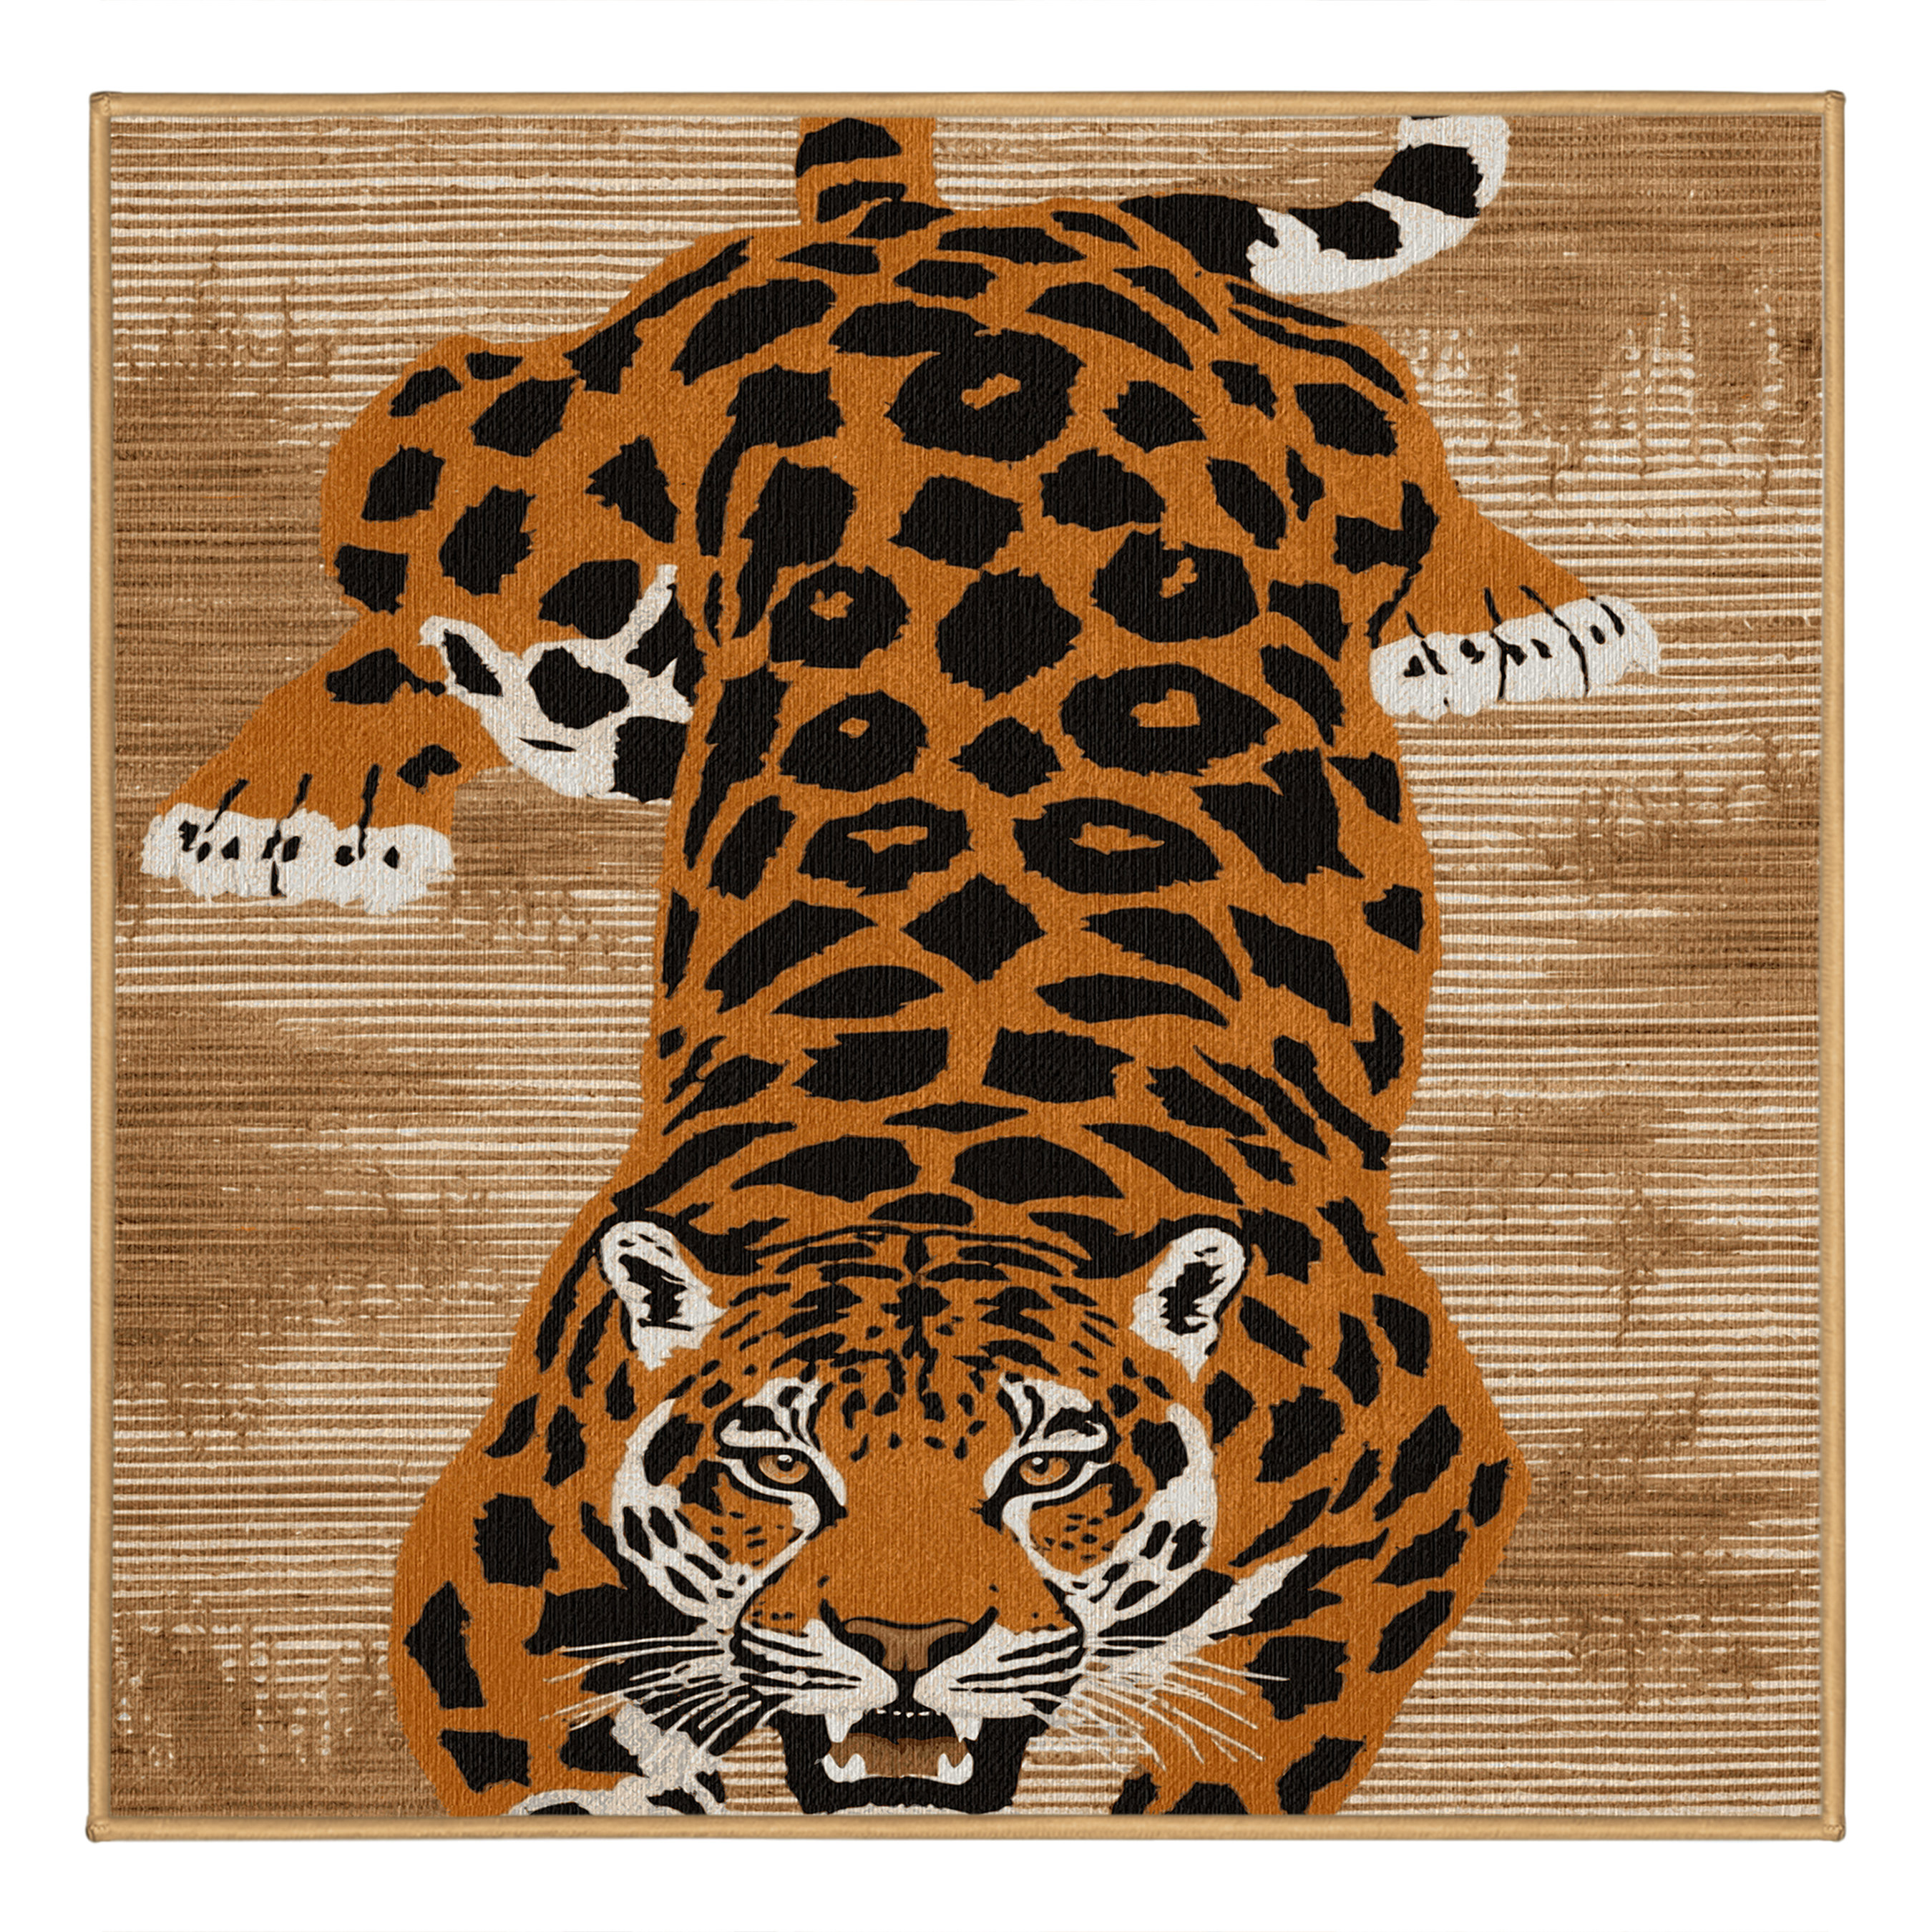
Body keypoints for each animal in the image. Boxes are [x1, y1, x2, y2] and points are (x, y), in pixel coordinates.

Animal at [141, 113, 1658, 1817]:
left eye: (1048, 1470)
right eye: (777, 1468)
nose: (905, 1647)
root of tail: (926, 226)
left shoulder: (1427, 1466)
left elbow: (1260, 1739)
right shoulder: (493, 1557)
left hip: (1310, 437)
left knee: (1381, 408)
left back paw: (1505, 616)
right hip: (542, 552)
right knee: (432, 574)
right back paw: (286, 807)